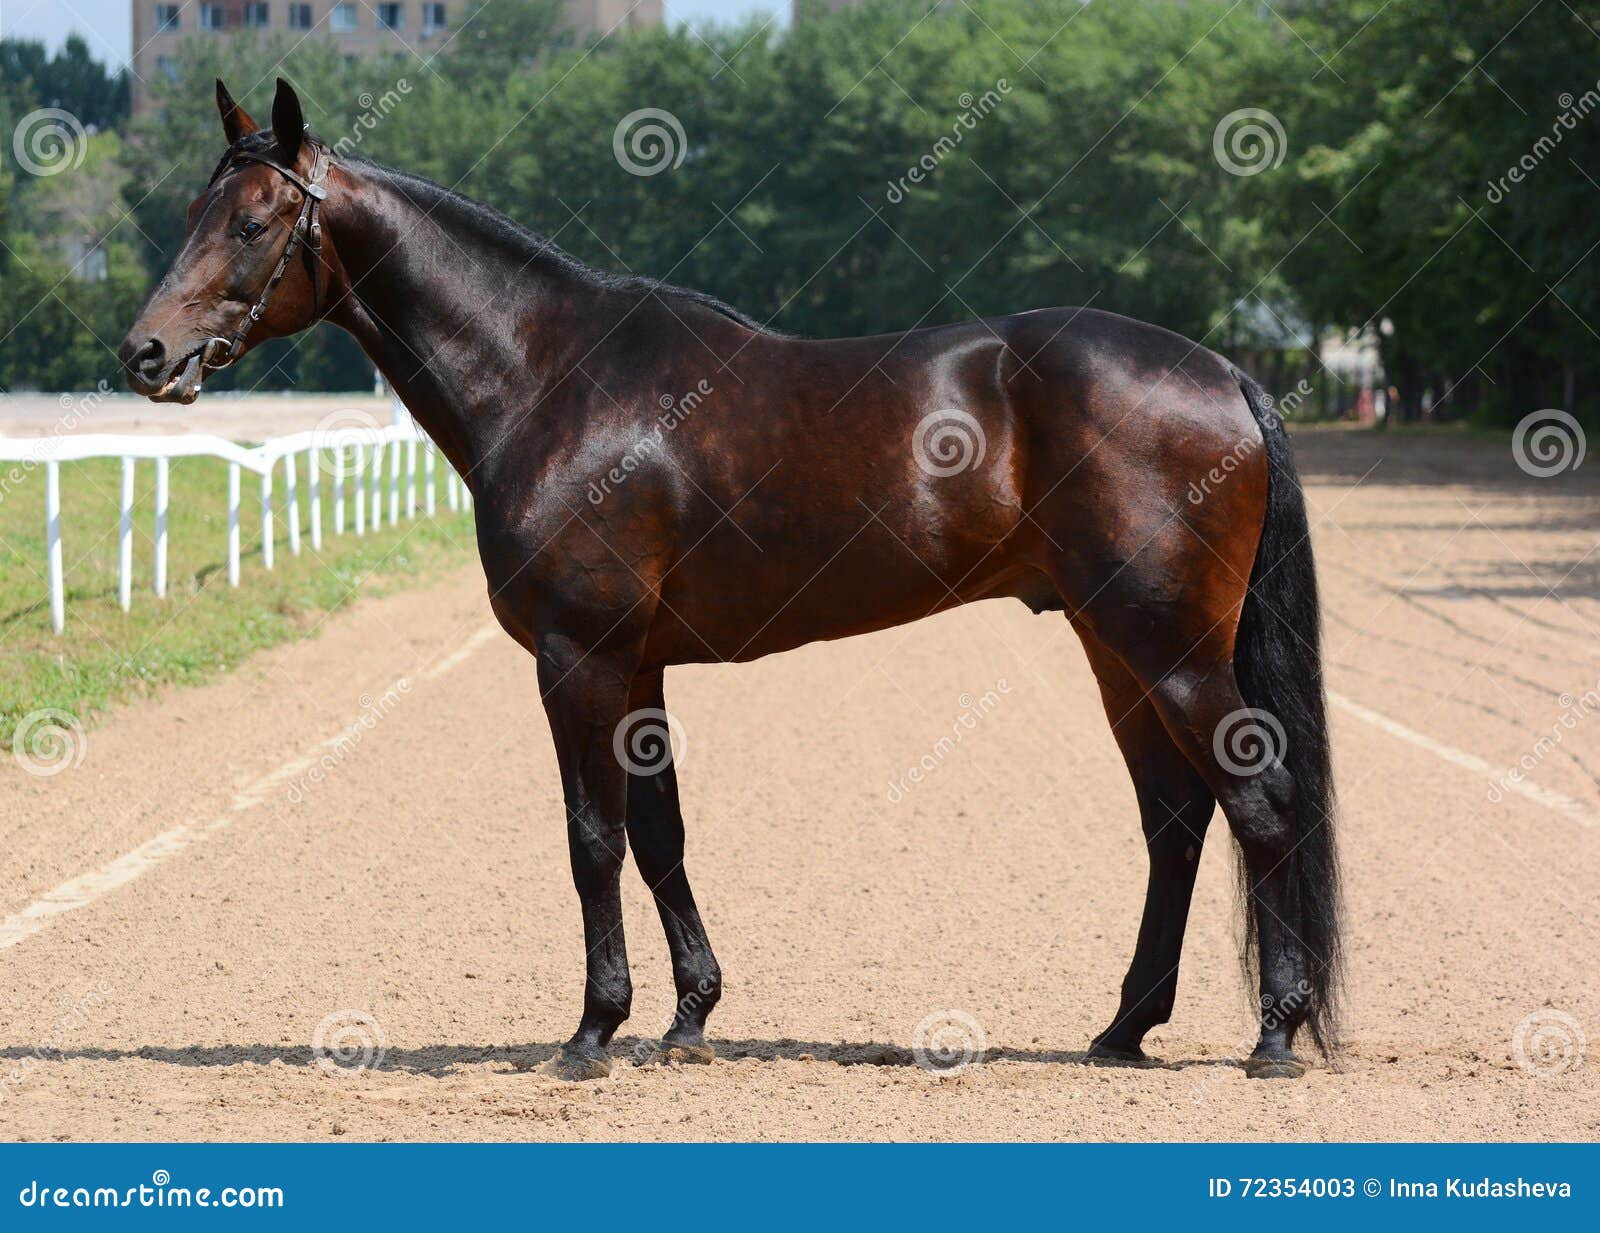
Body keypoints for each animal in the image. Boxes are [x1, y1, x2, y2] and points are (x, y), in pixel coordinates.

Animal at [120, 79, 1340, 1082]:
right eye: (190, 215)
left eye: (253, 221)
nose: (145, 356)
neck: (554, 378)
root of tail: (1223, 373)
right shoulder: (639, 666)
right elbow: (660, 834)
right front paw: (688, 1019)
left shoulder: (578, 658)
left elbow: (593, 837)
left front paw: (591, 1032)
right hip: (1115, 644)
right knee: (1177, 817)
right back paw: (1124, 1027)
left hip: (1167, 647)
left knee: (1260, 801)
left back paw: (1273, 1036)